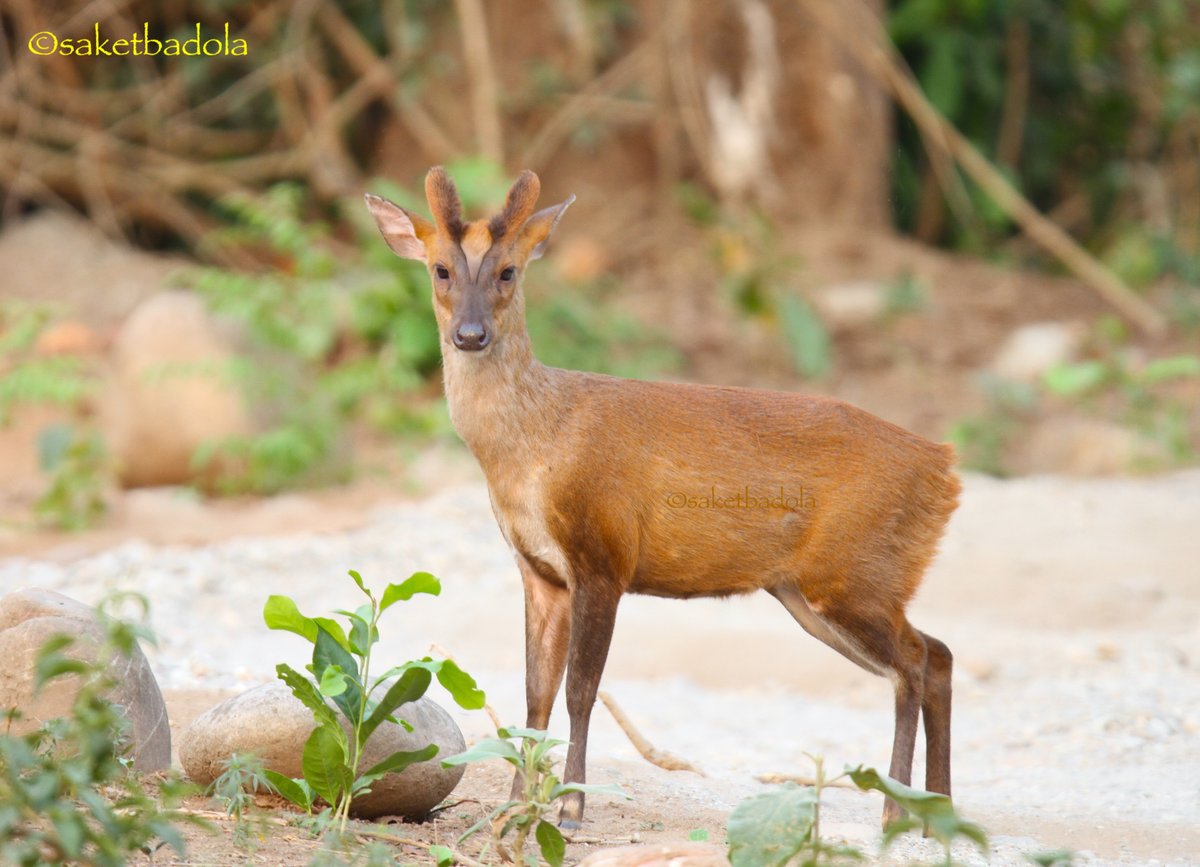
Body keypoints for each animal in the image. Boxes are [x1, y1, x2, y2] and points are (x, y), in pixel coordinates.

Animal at [365, 167, 961, 830]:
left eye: (508, 271)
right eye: (441, 269)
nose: (471, 335)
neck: (536, 447)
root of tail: (944, 467)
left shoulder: (604, 553)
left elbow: (580, 690)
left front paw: (570, 808)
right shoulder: (539, 570)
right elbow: (535, 691)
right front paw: (515, 809)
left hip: (853, 570)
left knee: (915, 660)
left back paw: (898, 810)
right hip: (819, 588)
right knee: (937, 653)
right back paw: (936, 806)